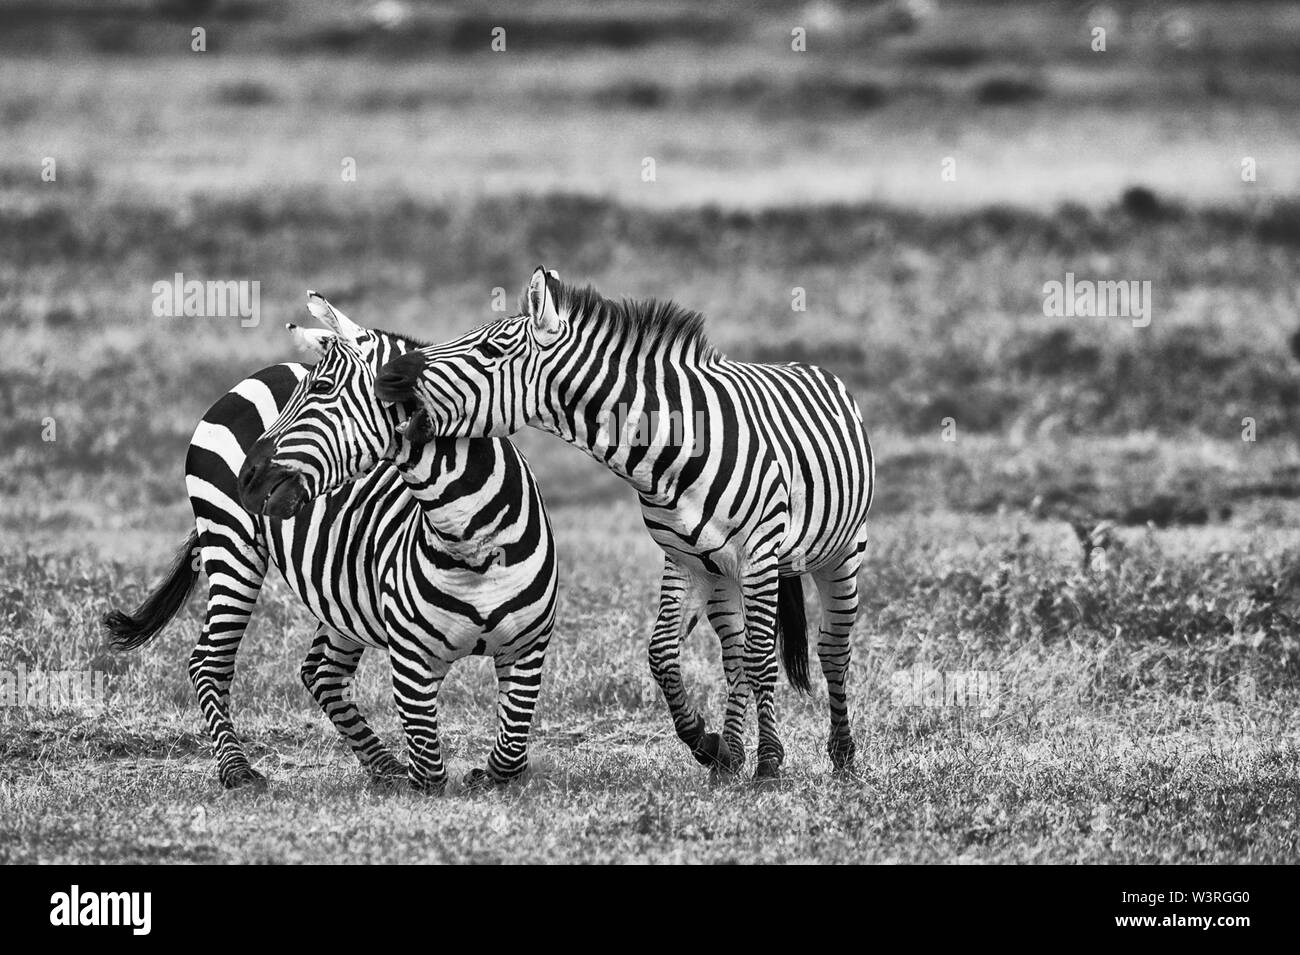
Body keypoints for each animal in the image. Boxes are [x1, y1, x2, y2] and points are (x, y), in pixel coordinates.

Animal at [104, 294, 556, 792]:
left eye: (322, 388)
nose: (246, 478)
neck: (473, 544)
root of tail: (266, 370)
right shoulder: (411, 663)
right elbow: (431, 772)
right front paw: (433, 777)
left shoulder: (529, 648)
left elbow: (512, 752)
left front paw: (487, 775)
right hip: (231, 543)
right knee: (210, 661)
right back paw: (238, 770)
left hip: (342, 590)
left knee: (321, 672)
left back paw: (382, 765)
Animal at [375, 268, 874, 779]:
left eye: (490, 350)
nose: (388, 374)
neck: (674, 451)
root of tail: (810, 368)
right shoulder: (684, 559)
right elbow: (663, 655)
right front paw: (707, 744)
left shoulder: (759, 556)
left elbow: (762, 658)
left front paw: (771, 762)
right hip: (721, 574)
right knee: (733, 654)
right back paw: (734, 751)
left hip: (841, 552)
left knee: (831, 649)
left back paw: (841, 754)